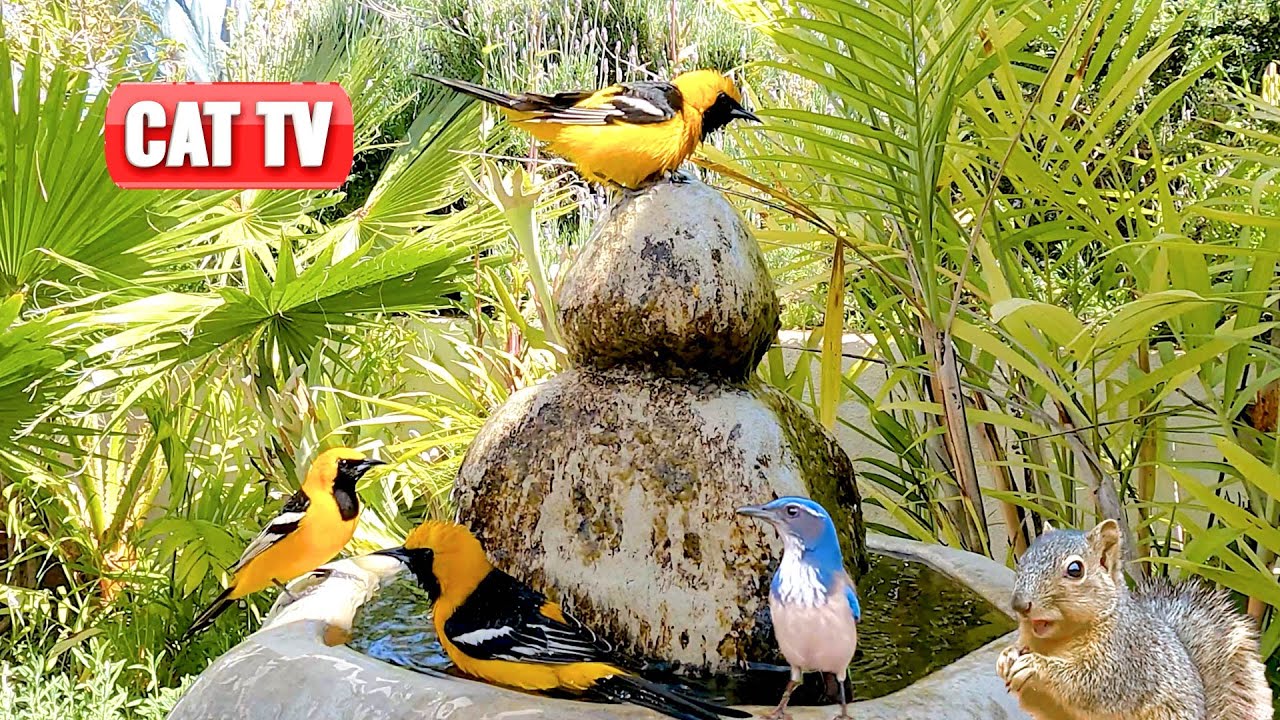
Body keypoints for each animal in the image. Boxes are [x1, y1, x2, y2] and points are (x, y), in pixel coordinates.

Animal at [996, 519, 1273, 720]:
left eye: (1075, 570)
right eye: (1022, 560)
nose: (1020, 604)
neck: (1058, 642)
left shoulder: (1128, 659)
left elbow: (1092, 684)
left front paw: (1036, 666)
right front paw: (1007, 657)